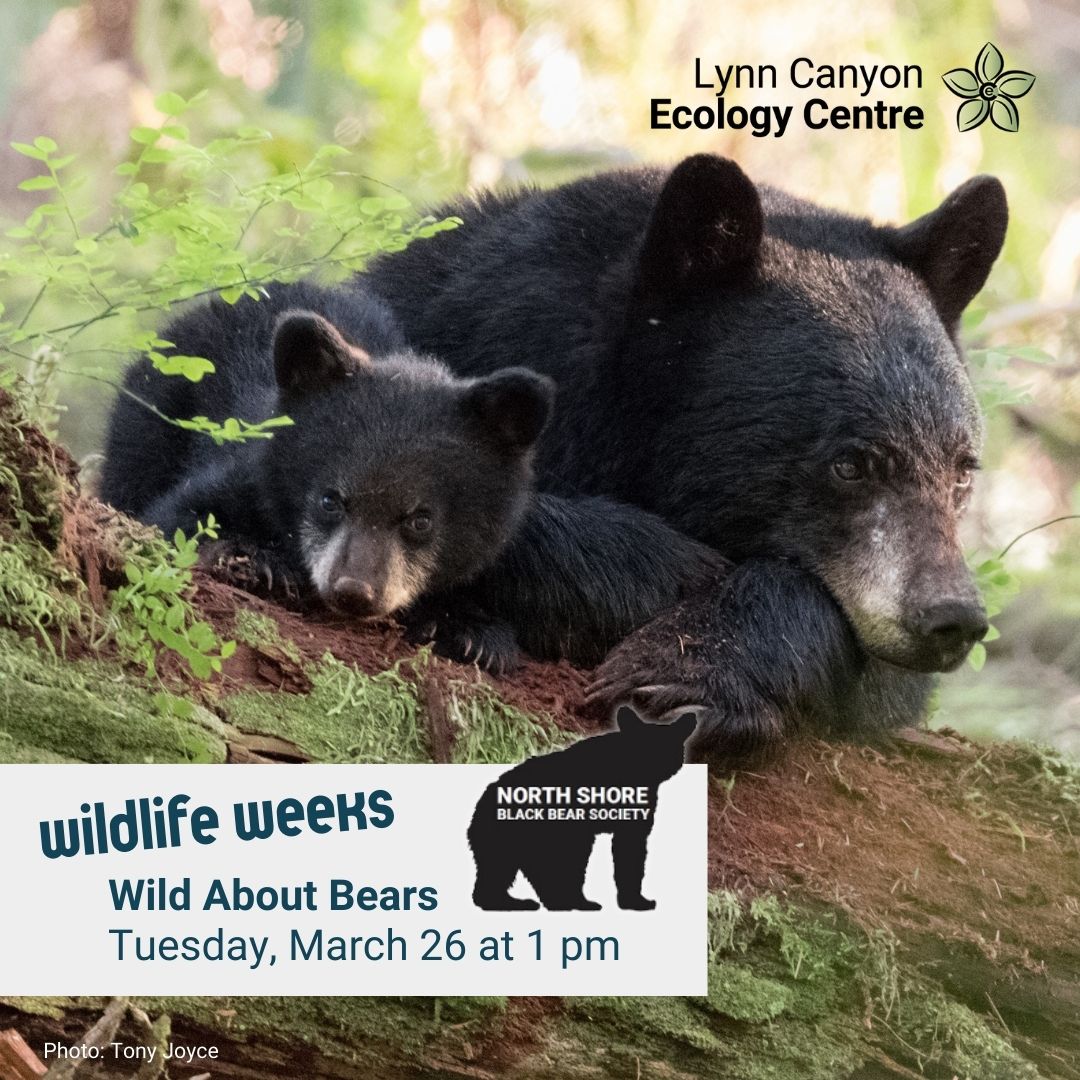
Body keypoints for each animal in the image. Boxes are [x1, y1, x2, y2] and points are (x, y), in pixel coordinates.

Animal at [99, 281, 557, 626]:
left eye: (421, 520)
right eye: (329, 500)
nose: (354, 591)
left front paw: (468, 627)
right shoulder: (247, 469)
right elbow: (174, 514)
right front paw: (256, 560)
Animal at [365, 154, 1007, 751]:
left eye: (961, 474)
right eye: (849, 464)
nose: (952, 618)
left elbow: (880, 679)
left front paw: (685, 670)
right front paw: (669, 571)